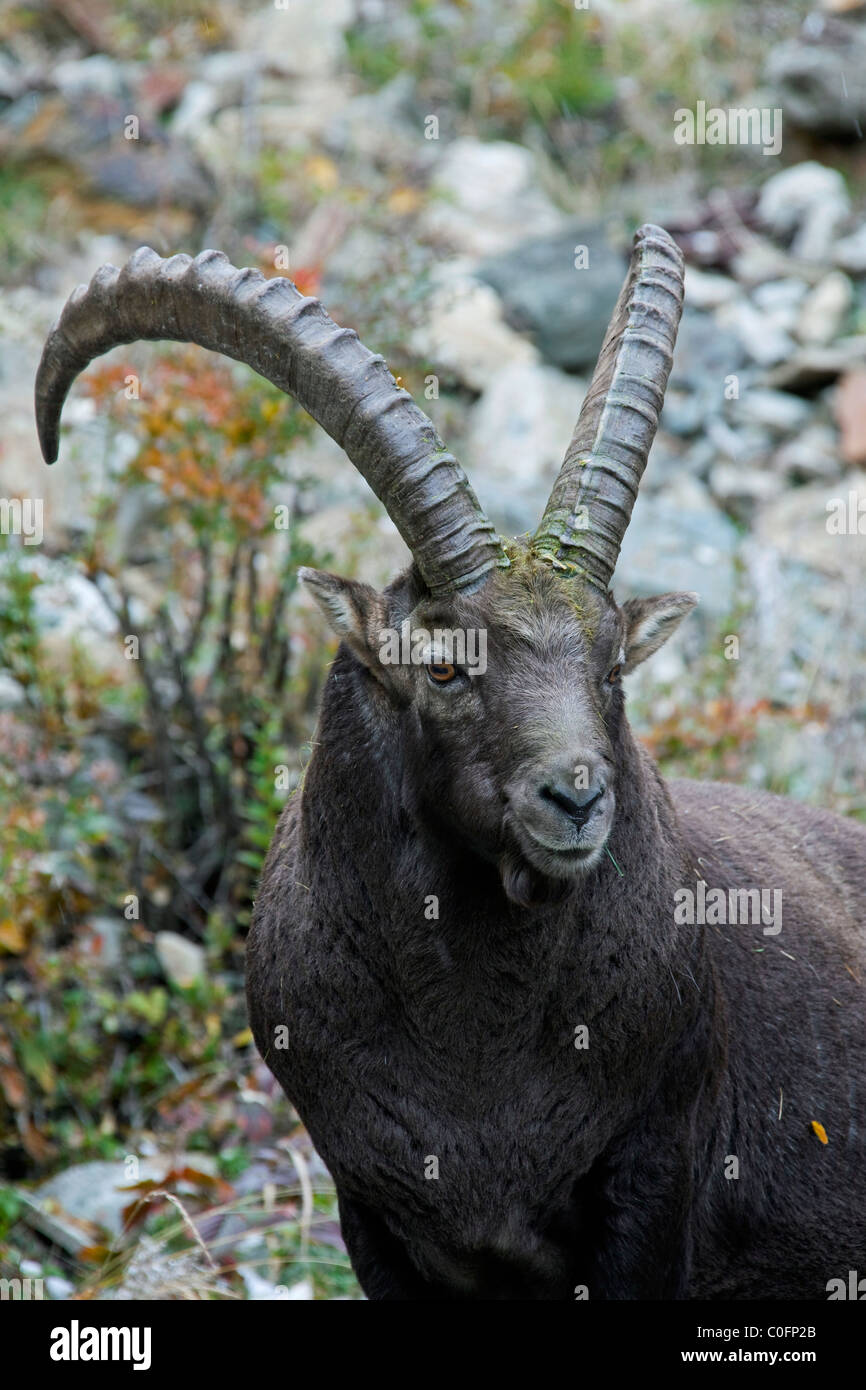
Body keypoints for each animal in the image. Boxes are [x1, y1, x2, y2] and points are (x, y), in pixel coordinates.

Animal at [36, 227, 866, 1300]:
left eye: (611, 666)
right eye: (442, 666)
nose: (576, 800)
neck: (474, 1063)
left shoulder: (652, 1176)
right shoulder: (366, 1207)